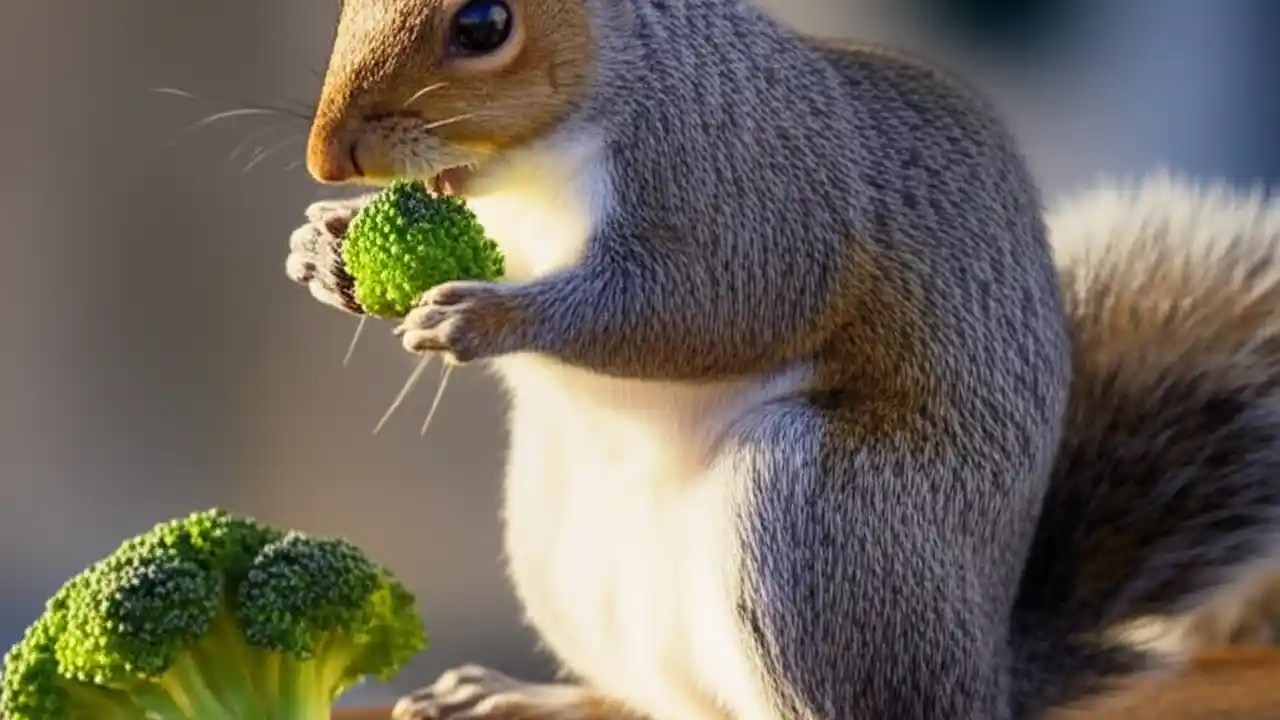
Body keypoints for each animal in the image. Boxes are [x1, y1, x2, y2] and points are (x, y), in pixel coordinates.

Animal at [284, 0, 1280, 718]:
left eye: (485, 25)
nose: (327, 159)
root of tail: (986, 677)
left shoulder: (747, 188)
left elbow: (705, 308)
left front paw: (484, 317)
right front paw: (321, 247)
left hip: (815, 529)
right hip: (560, 544)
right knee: (658, 702)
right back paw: (528, 697)